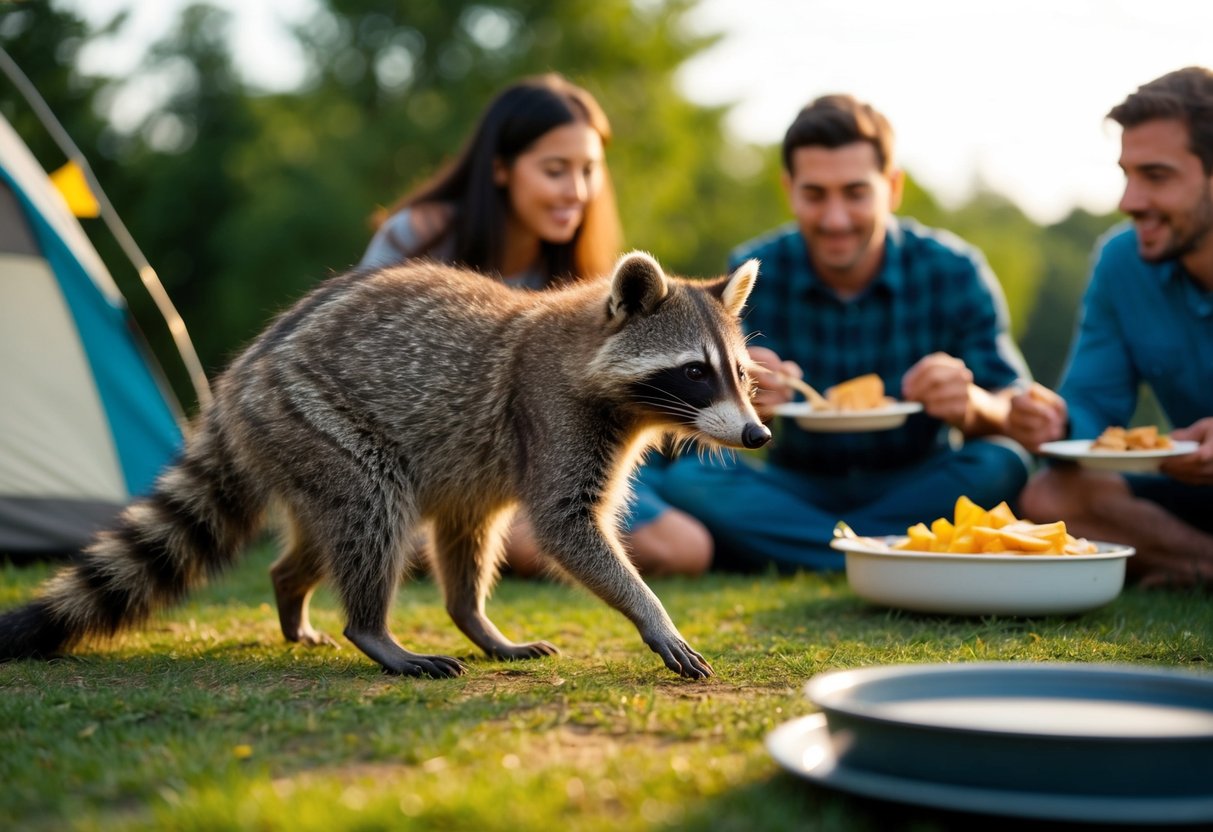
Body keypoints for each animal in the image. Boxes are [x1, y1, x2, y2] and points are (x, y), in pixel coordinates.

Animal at [0, 251, 768, 678]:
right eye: (695, 372)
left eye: (739, 373)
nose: (758, 434)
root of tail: (235, 387)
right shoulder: (550, 413)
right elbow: (564, 528)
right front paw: (652, 615)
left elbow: (493, 530)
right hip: (317, 420)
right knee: (375, 512)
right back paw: (374, 632)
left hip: (343, 455)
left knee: (411, 534)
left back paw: (442, 615)